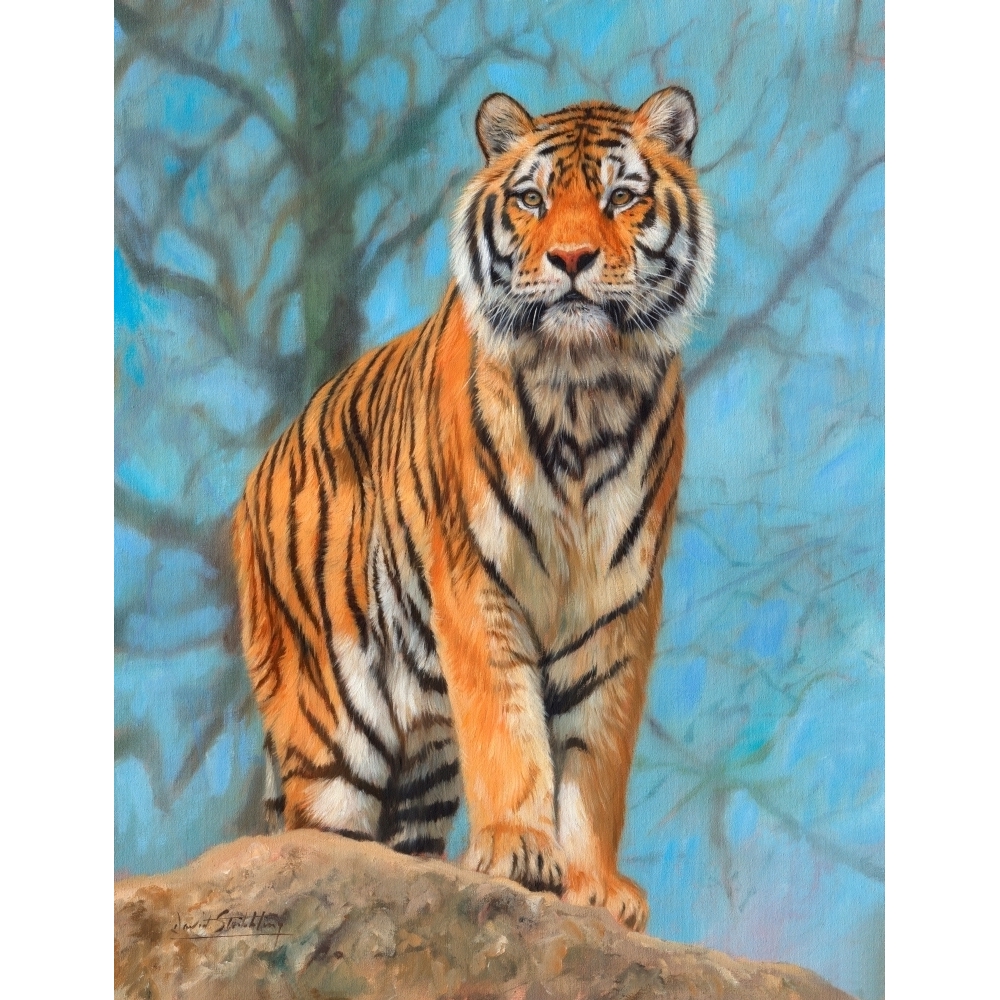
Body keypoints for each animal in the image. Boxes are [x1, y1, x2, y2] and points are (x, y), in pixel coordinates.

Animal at [232, 86, 715, 932]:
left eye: (622, 198)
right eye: (532, 200)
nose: (572, 260)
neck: (582, 393)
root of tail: (261, 467)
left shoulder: (620, 601)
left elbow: (597, 751)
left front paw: (594, 883)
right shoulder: (475, 577)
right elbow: (507, 722)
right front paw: (520, 850)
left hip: (422, 764)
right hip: (330, 727)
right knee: (320, 830)